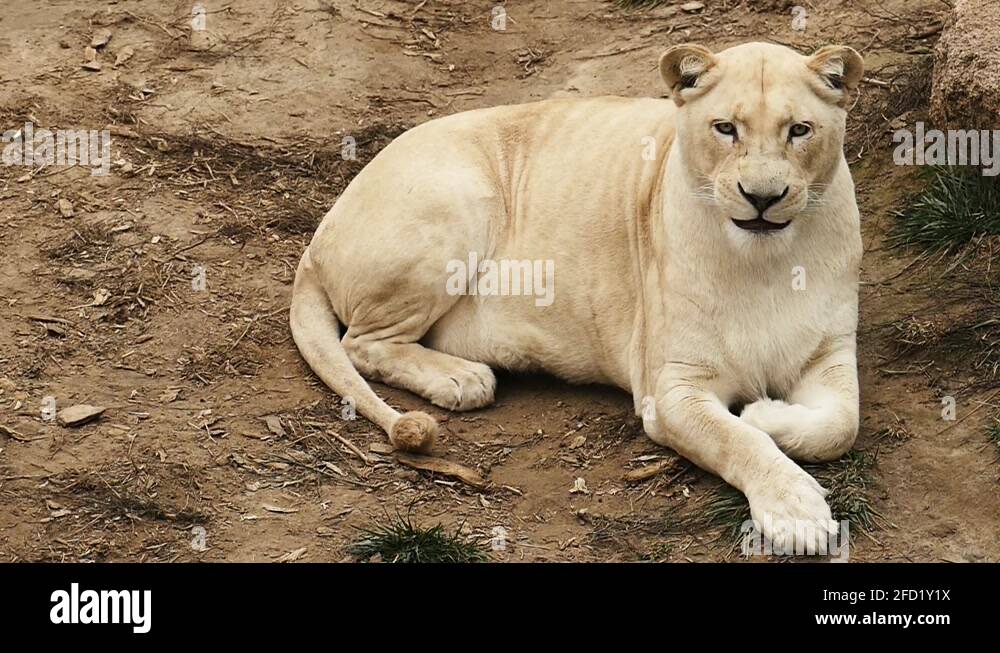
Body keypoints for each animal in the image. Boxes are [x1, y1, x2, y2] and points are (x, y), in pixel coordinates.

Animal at [290, 42, 865, 554]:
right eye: (726, 128)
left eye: (799, 130)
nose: (762, 198)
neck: (764, 261)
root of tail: (317, 238)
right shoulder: (670, 386)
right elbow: (737, 441)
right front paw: (796, 511)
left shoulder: (830, 351)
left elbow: (841, 424)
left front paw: (767, 414)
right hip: (457, 198)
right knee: (362, 343)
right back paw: (461, 378)